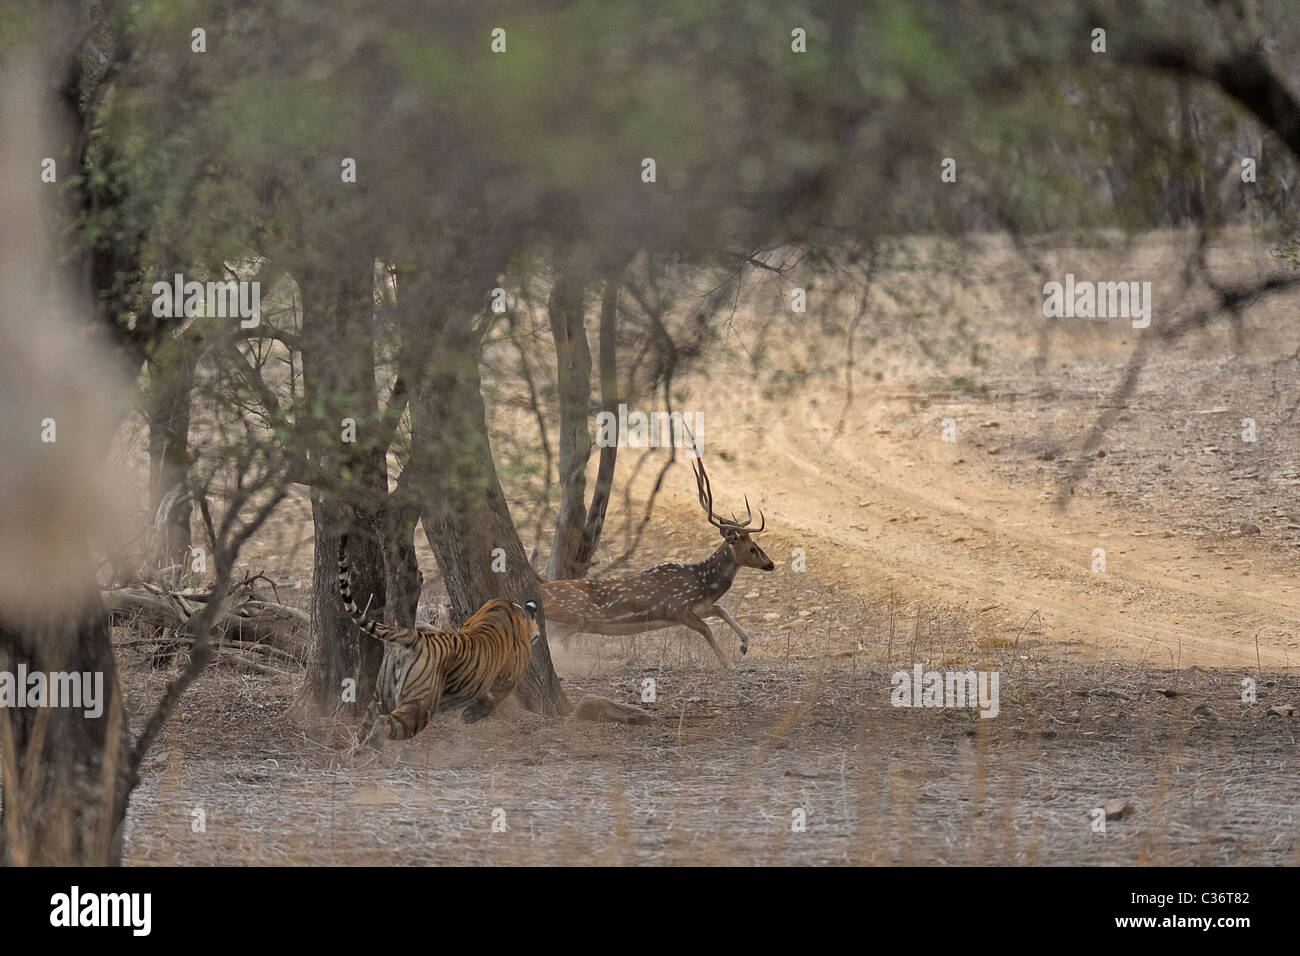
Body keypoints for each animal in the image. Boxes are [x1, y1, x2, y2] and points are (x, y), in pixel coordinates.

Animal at [541, 456, 774, 668]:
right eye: (753, 548)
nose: (770, 564)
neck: (704, 583)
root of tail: (541, 588)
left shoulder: (699, 606)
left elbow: (720, 609)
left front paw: (744, 645)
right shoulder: (678, 608)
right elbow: (706, 628)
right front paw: (728, 663)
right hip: (572, 616)